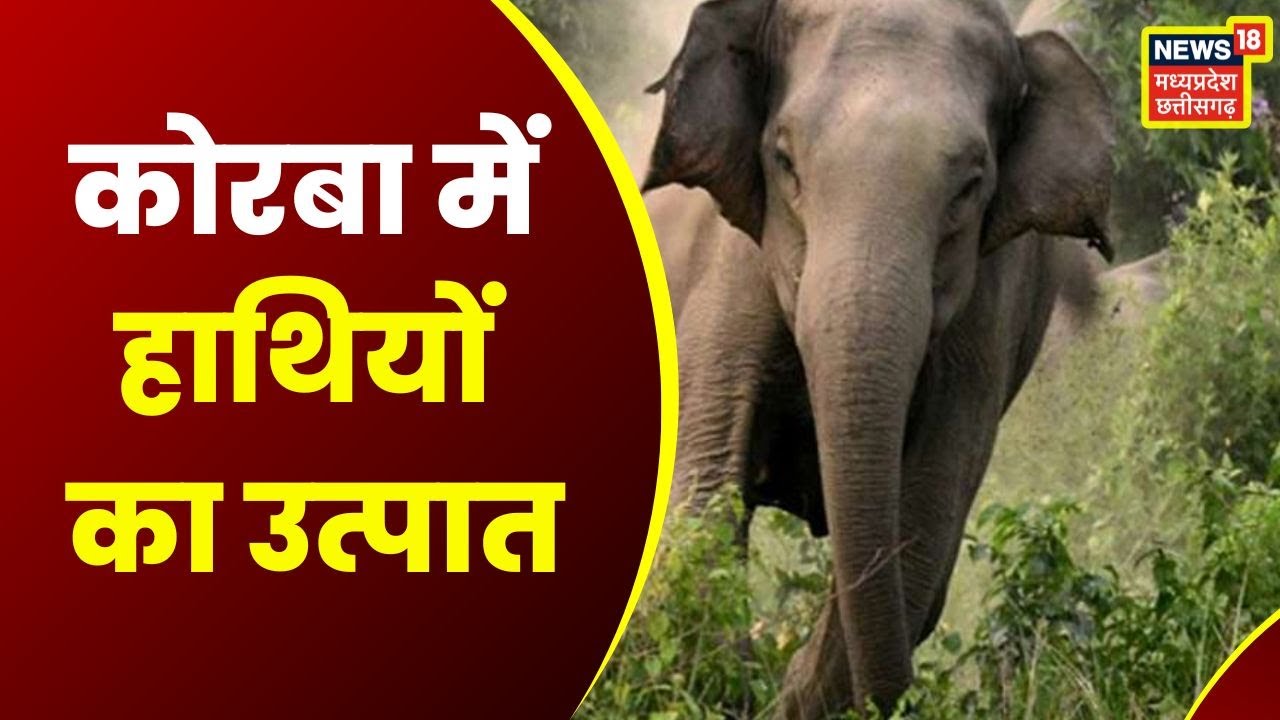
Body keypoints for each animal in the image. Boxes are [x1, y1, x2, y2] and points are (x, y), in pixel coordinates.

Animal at [643, 0, 1115, 716]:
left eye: (970, 186)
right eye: (784, 160)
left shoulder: (984, 324)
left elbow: (924, 524)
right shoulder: (729, 273)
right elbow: (704, 490)